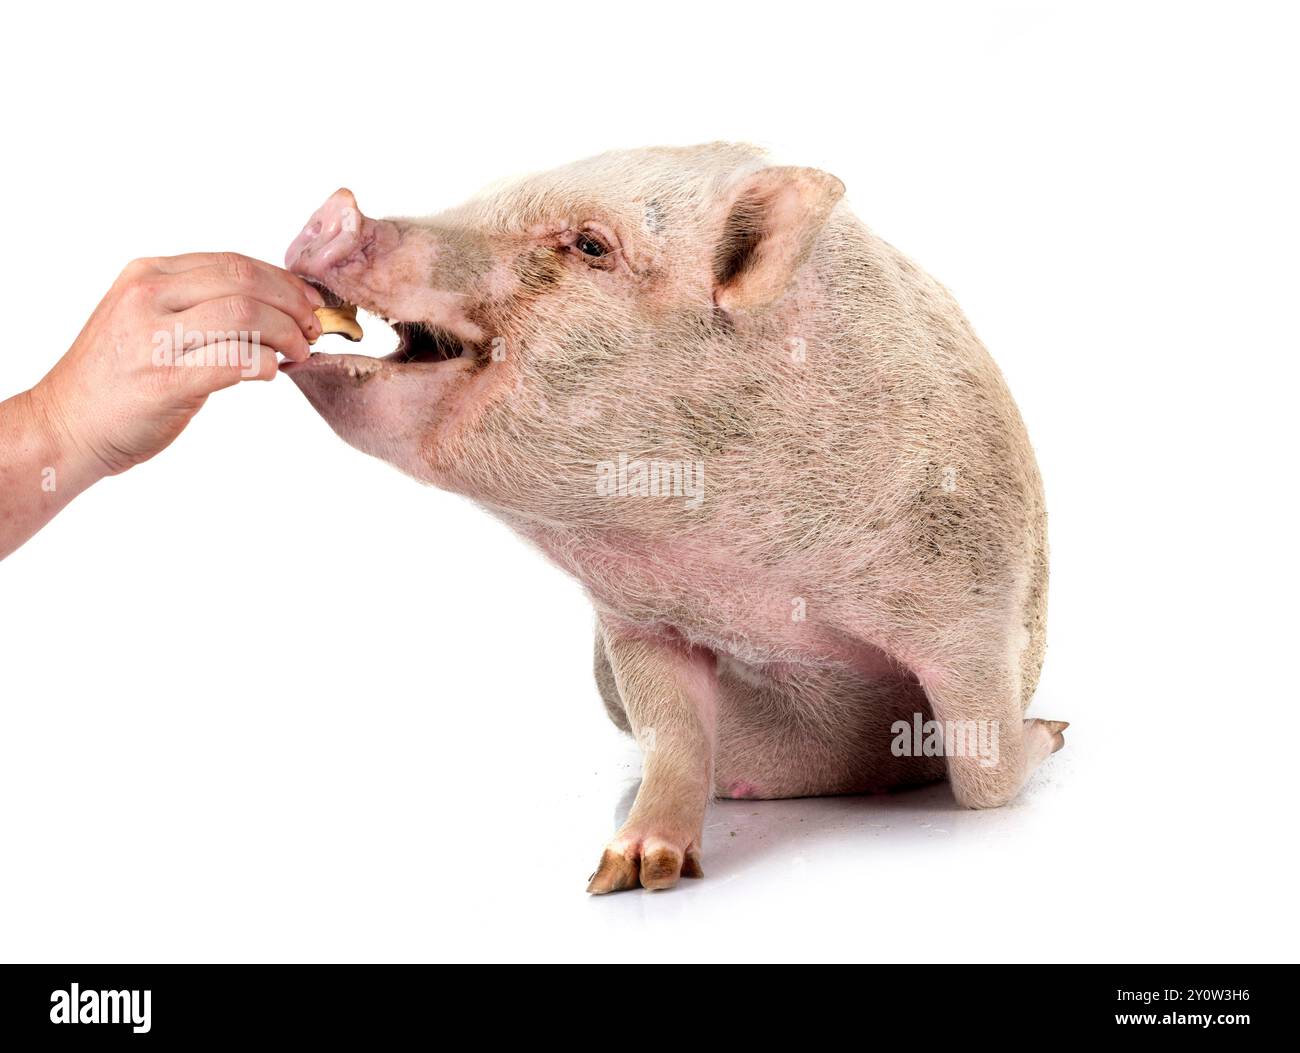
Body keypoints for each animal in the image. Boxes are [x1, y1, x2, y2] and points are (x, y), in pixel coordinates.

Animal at [282, 143, 1061, 894]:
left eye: (591, 245)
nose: (337, 209)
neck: (757, 595)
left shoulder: (975, 603)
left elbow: (985, 770)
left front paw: (1050, 734)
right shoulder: (638, 620)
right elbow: (672, 736)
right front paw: (628, 873)